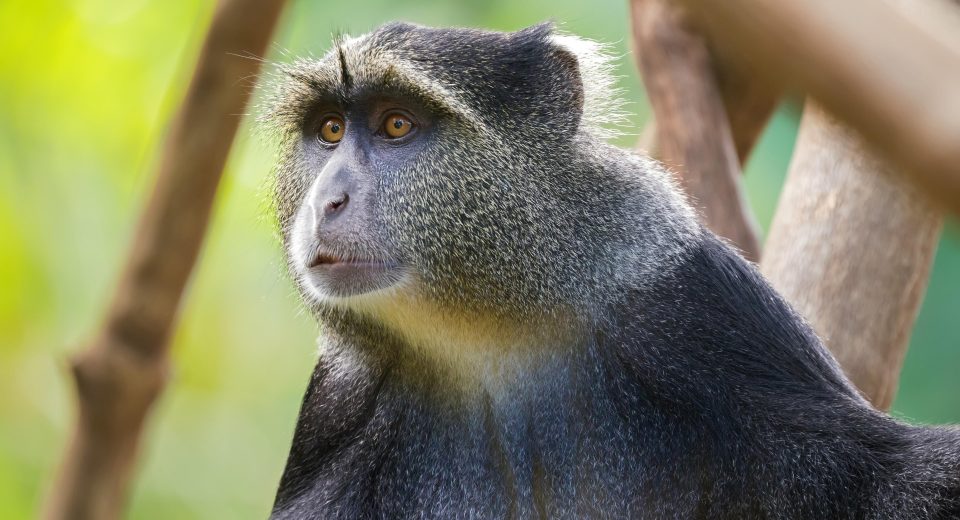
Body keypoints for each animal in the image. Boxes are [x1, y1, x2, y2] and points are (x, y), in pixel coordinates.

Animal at [260, 21, 960, 519]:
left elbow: (897, 479)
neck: (489, 328)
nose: (328, 200)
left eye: (397, 124)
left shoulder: (694, 308)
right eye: (329, 131)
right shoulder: (341, 406)